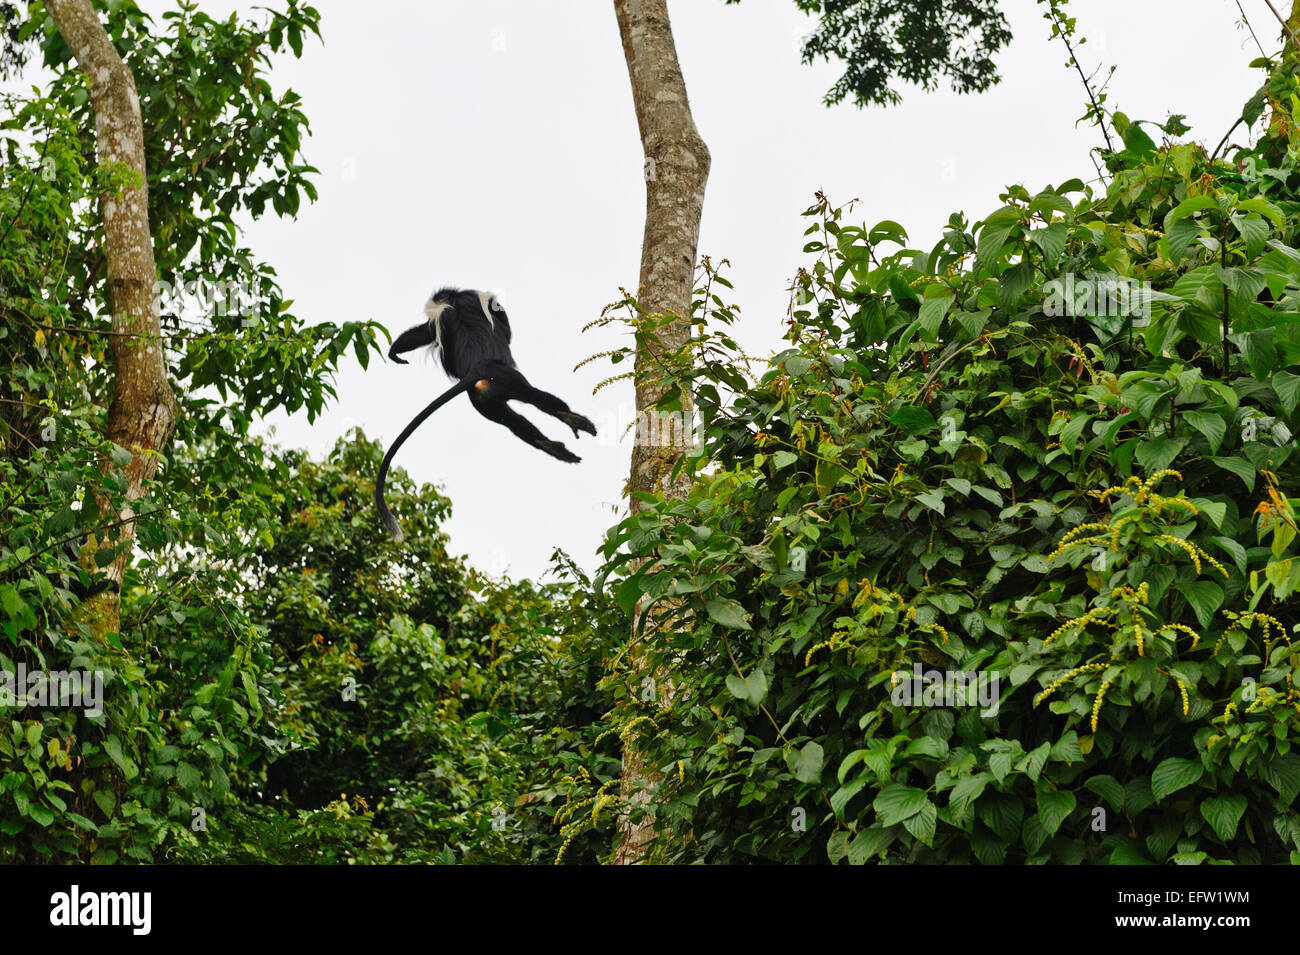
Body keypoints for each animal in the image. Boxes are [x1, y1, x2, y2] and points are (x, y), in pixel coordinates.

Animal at [375, 287, 597, 542]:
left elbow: (423, 333)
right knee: (535, 397)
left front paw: (394, 352)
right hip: (507, 378)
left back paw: (553, 448)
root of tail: (478, 369)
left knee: (513, 422)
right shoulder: (475, 297)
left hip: (483, 401)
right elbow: (501, 319)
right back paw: (573, 421)